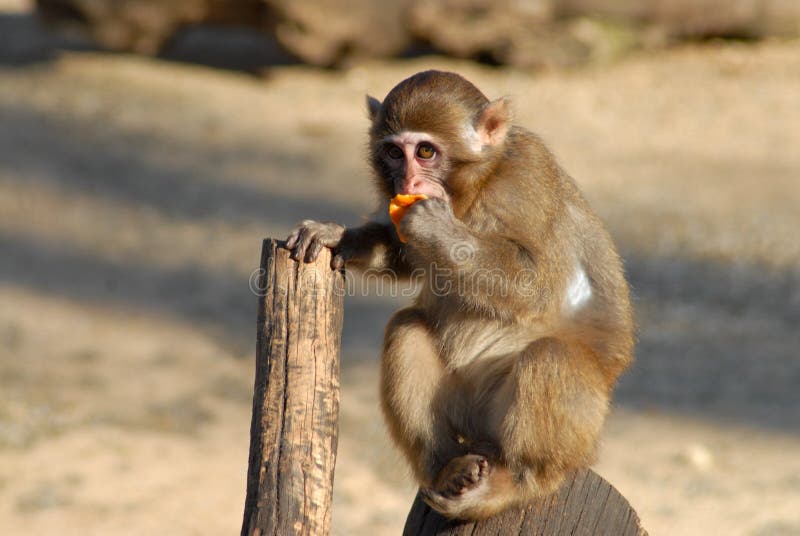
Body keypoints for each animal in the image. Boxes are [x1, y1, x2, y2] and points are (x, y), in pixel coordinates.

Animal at [286, 70, 634, 520]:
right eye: (393, 153)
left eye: (426, 151)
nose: (406, 182)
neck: (475, 190)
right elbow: (405, 256)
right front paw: (337, 236)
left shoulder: (527, 177)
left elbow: (536, 282)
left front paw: (435, 226)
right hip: (465, 415)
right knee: (406, 329)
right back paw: (447, 468)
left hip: (576, 429)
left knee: (551, 357)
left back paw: (519, 482)